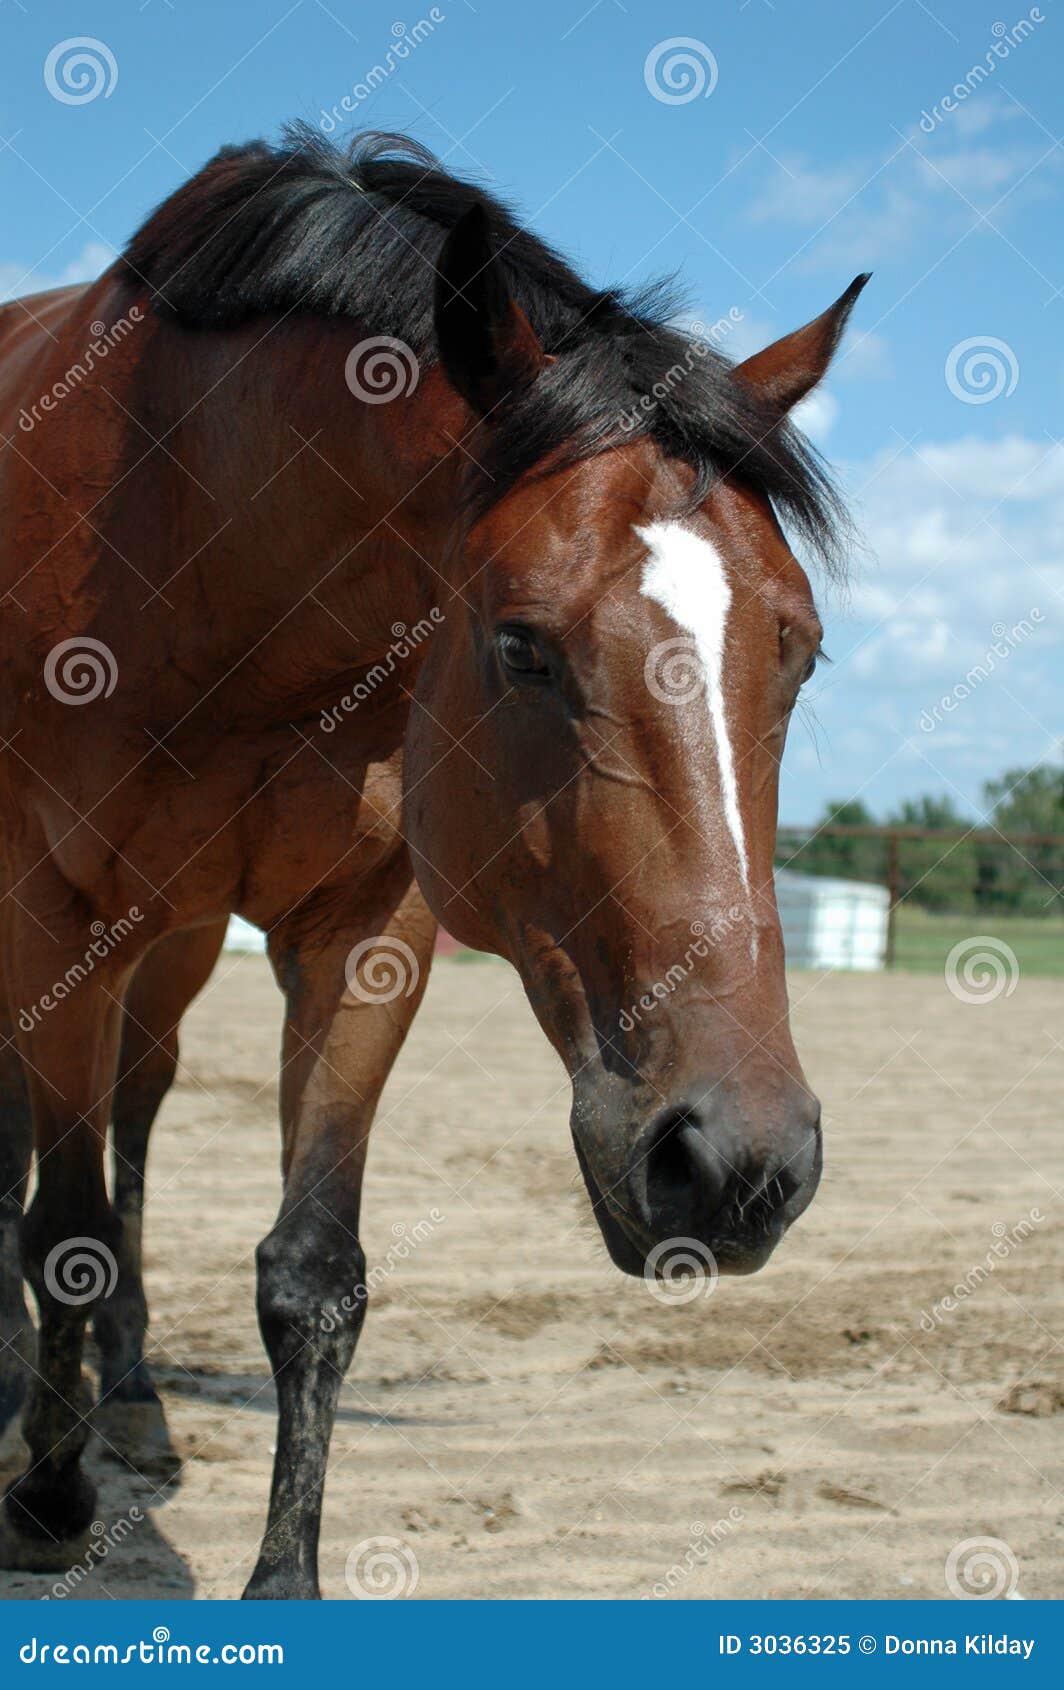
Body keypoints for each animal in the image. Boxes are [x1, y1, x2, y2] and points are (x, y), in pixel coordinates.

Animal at [0, 123, 866, 1598]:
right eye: (520, 644)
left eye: (797, 649)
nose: (740, 1162)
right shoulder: (59, 916)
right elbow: (61, 1227)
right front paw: (48, 1499)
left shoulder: (365, 929)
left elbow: (311, 1272)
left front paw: (278, 1578)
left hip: (177, 944)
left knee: (137, 1110)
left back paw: (130, 1390)